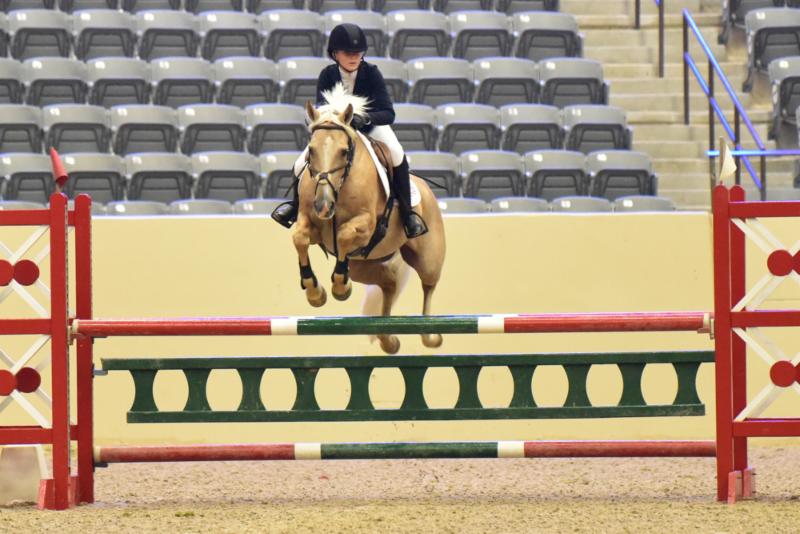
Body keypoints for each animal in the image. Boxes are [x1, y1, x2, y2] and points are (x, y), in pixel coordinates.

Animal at [290, 84, 446, 354]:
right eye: (311, 151)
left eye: (344, 152)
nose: (323, 205)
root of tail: (427, 191)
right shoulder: (310, 223)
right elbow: (299, 237)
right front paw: (315, 292)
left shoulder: (366, 225)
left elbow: (343, 235)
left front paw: (340, 287)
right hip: (364, 264)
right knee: (389, 283)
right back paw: (388, 339)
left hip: (428, 259)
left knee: (428, 285)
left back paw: (429, 335)